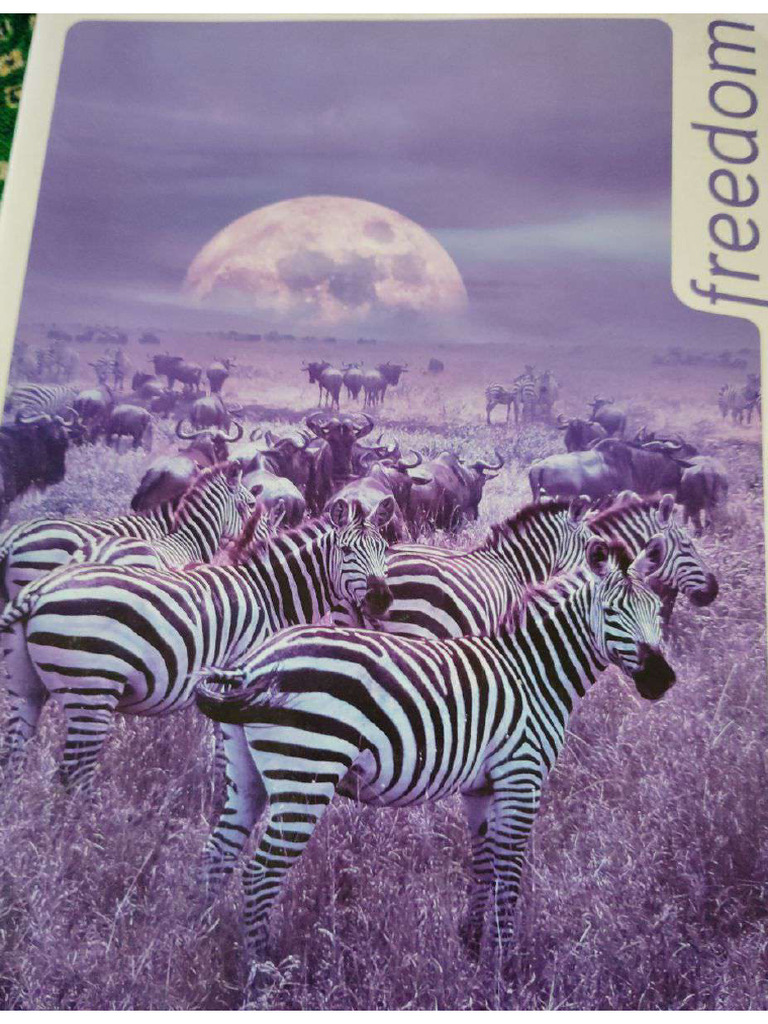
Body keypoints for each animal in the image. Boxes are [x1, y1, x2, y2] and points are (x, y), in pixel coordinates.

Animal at [0, 496, 395, 792]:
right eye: (346, 551)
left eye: (385, 549)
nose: (381, 599)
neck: (268, 594)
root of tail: (38, 592)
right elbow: (224, 751)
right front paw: (218, 792)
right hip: (91, 691)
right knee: (74, 772)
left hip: (28, 689)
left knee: (13, 754)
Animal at [195, 535, 675, 968]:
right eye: (612, 613)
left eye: (659, 611)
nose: (661, 679)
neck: (533, 672)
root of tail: (253, 665)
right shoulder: (521, 775)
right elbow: (509, 875)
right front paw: (503, 966)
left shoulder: (481, 786)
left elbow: (484, 865)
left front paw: (472, 945)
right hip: (306, 774)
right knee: (260, 873)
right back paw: (261, 972)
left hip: (247, 775)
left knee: (217, 855)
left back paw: (200, 939)